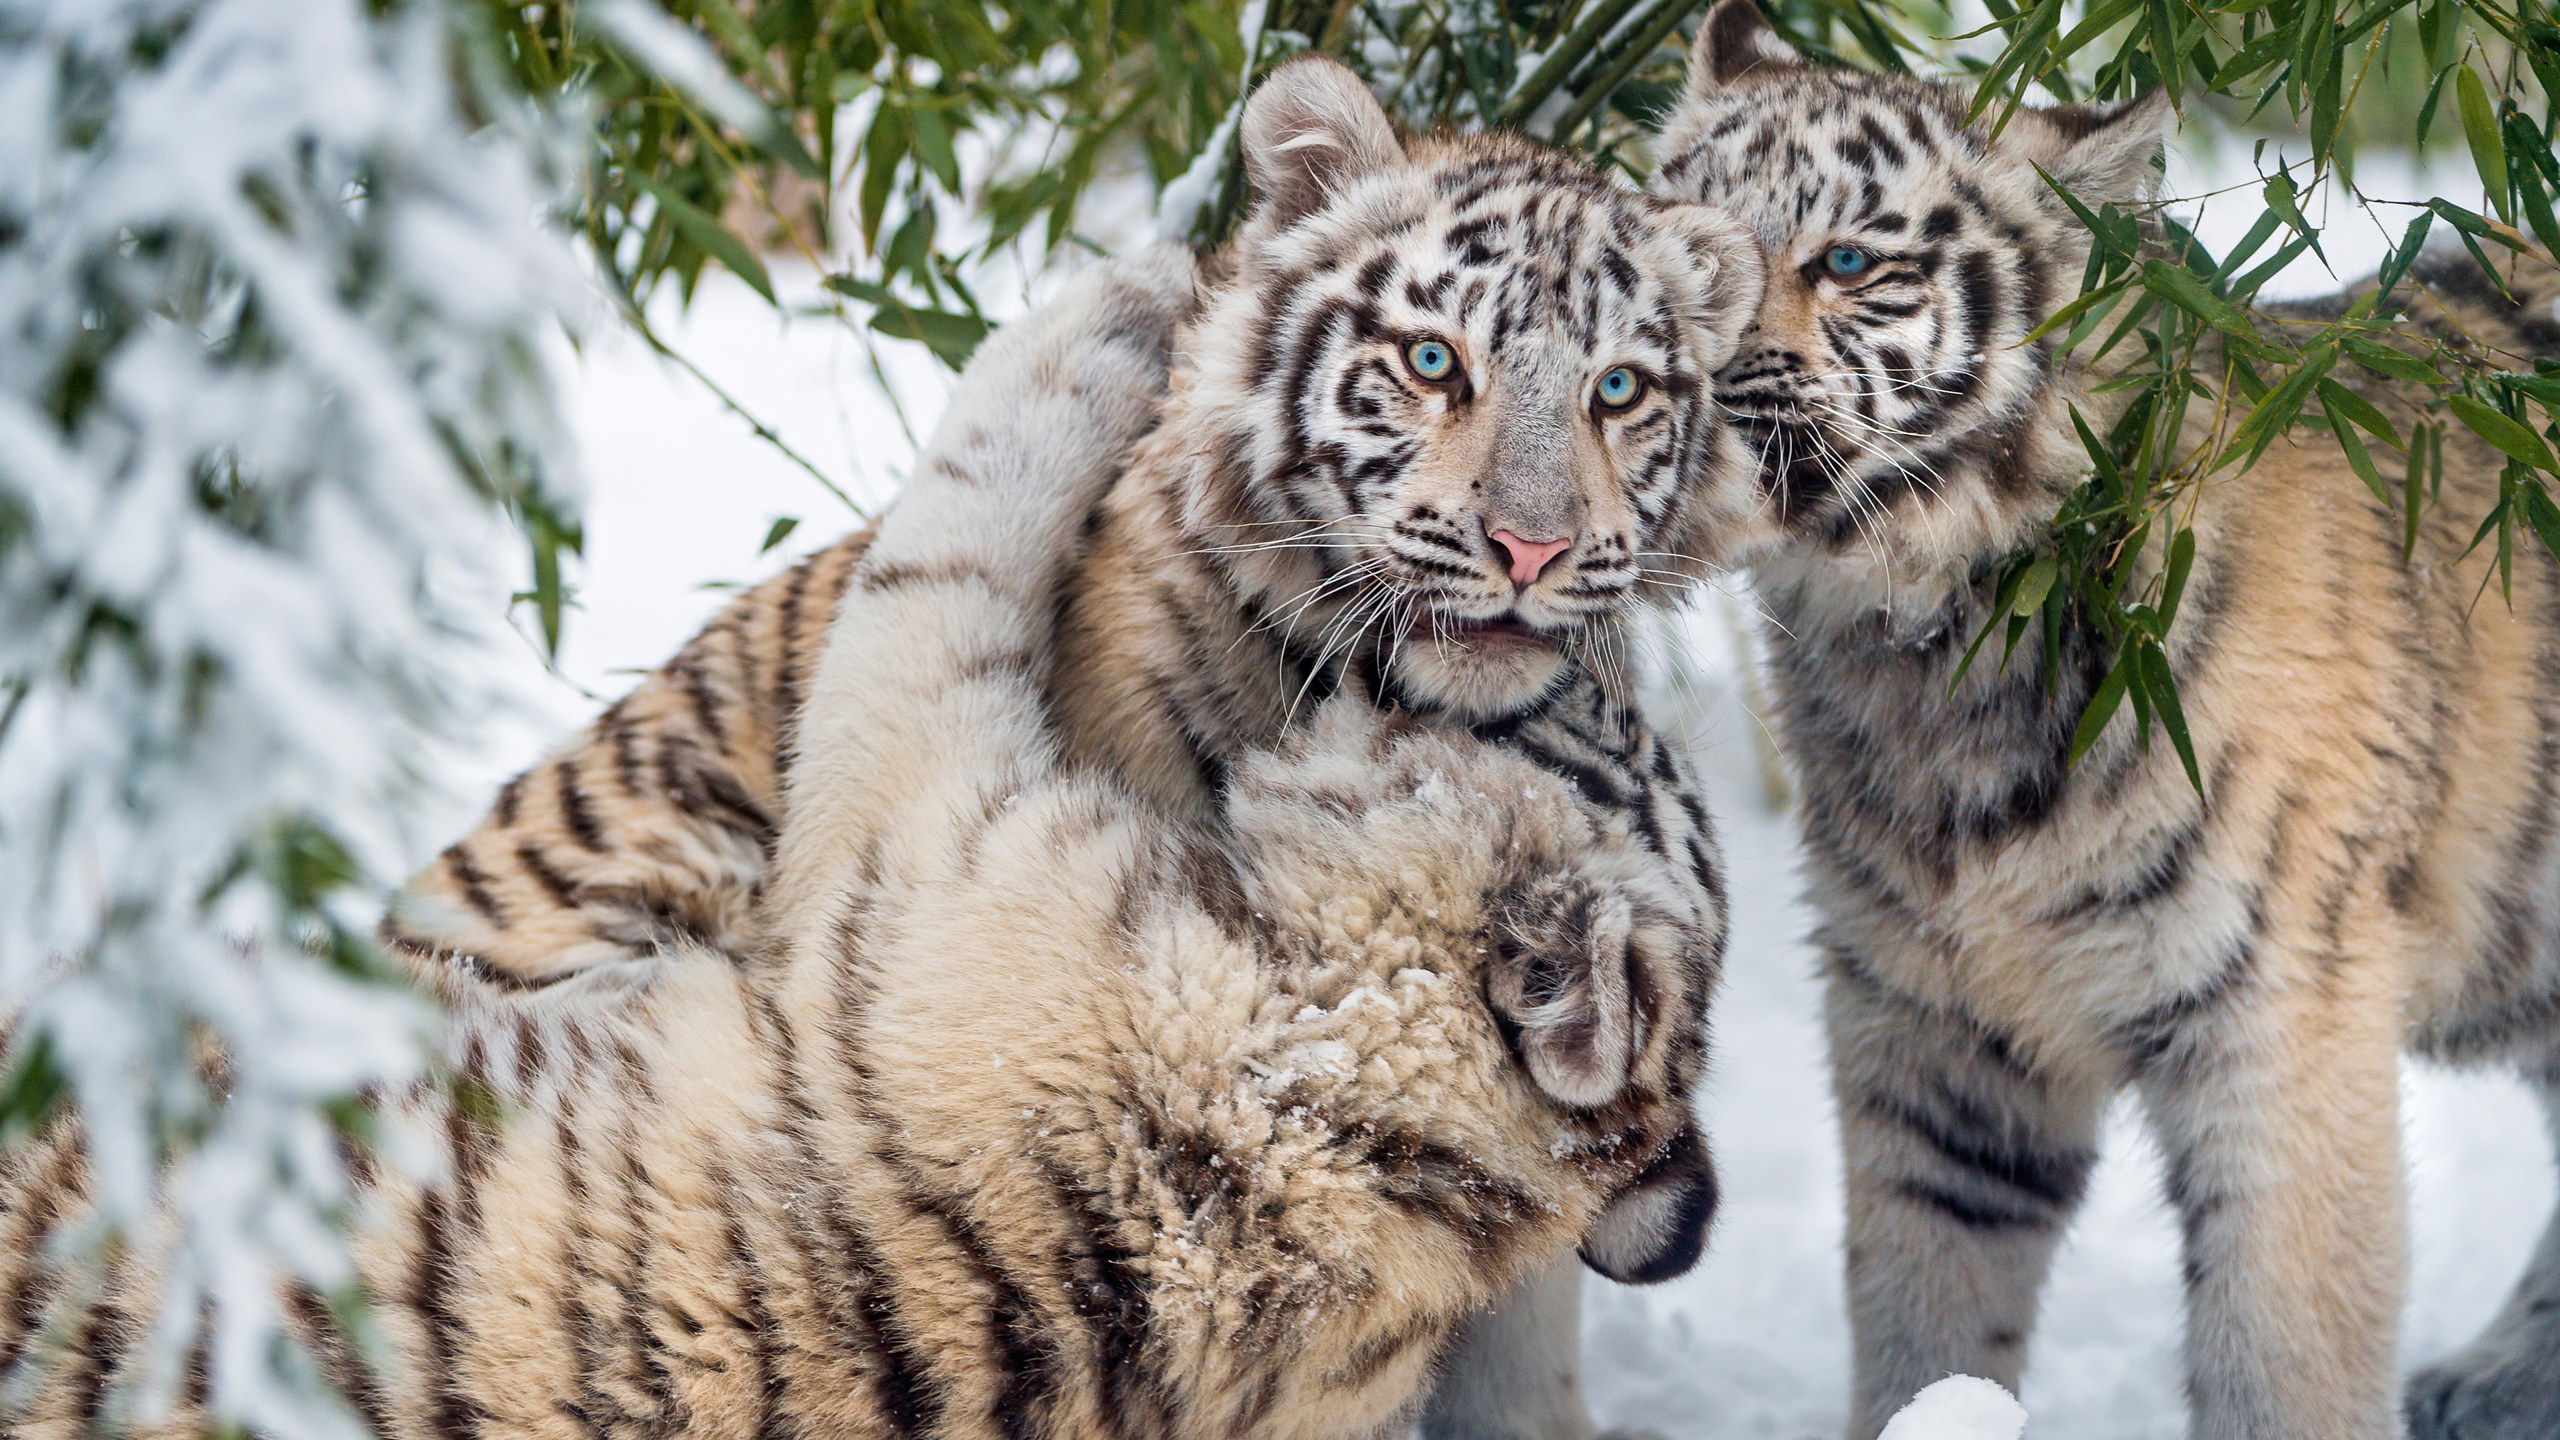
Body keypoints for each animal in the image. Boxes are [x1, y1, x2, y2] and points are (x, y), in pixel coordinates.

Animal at [1644, 4, 2560, 1436]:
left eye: (1845, 260)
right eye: (1673, 228)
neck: (1921, 648)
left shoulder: (2279, 1018)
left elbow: (2282, 1354)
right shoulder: (1930, 1033)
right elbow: (1922, 1321)